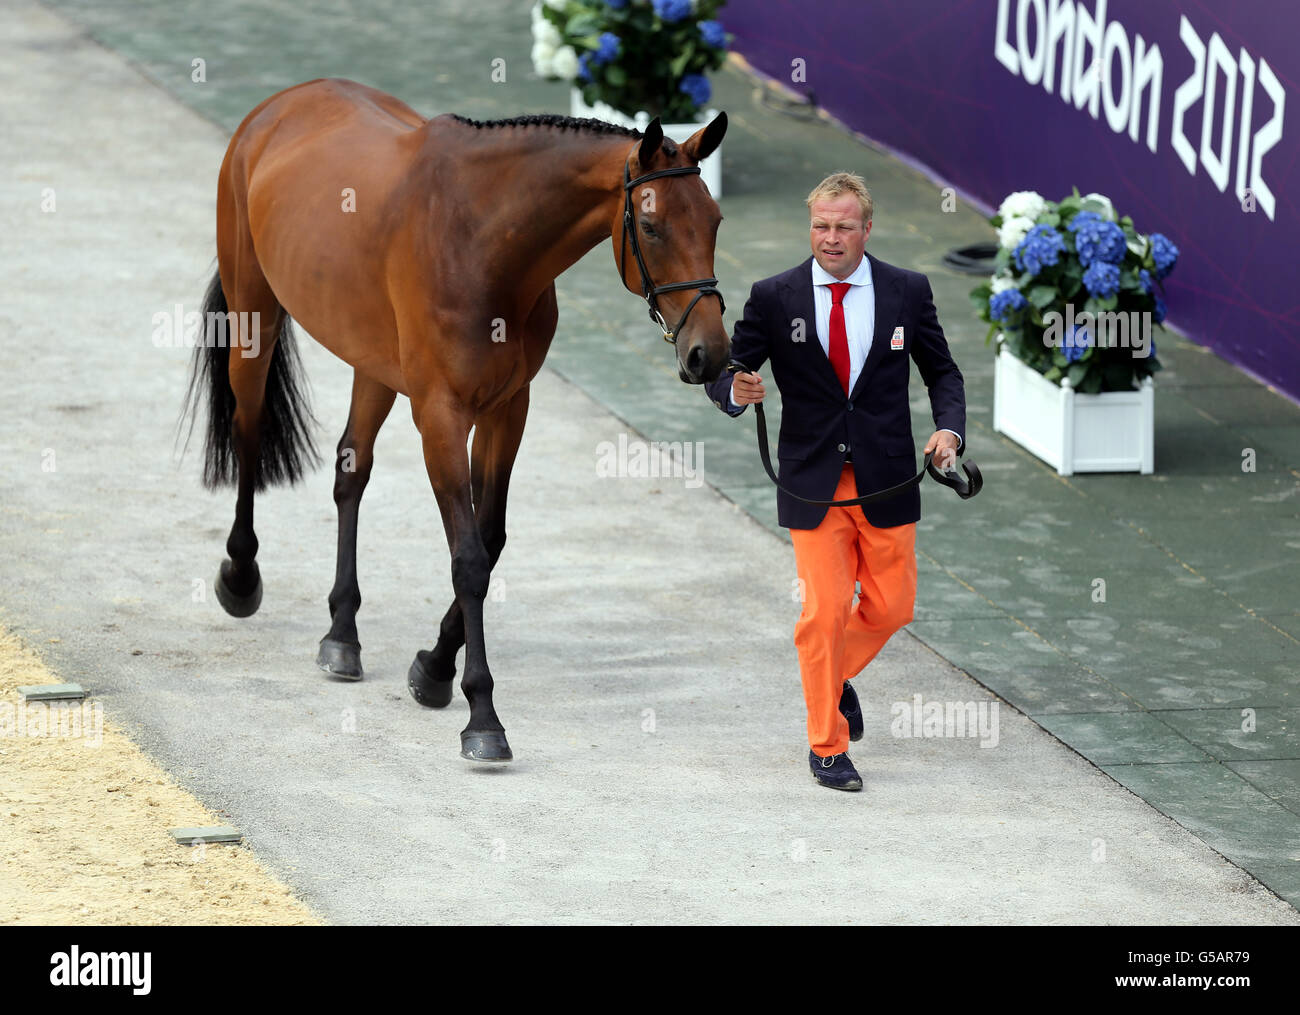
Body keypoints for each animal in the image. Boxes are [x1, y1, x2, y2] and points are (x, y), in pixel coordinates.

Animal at [183, 78, 728, 763]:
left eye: (714, 221)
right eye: (651, 227)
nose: (710, 353)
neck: (485, 242)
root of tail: (283, 103)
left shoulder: (507, 410)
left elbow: (489, 541)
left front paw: (434, 666)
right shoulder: (440, 416)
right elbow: (467, 556)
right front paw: (482, 715)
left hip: (374, 364)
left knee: (350, 470)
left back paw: (342, 632)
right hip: (255, 311)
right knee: (250, 432)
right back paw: (240, 575)